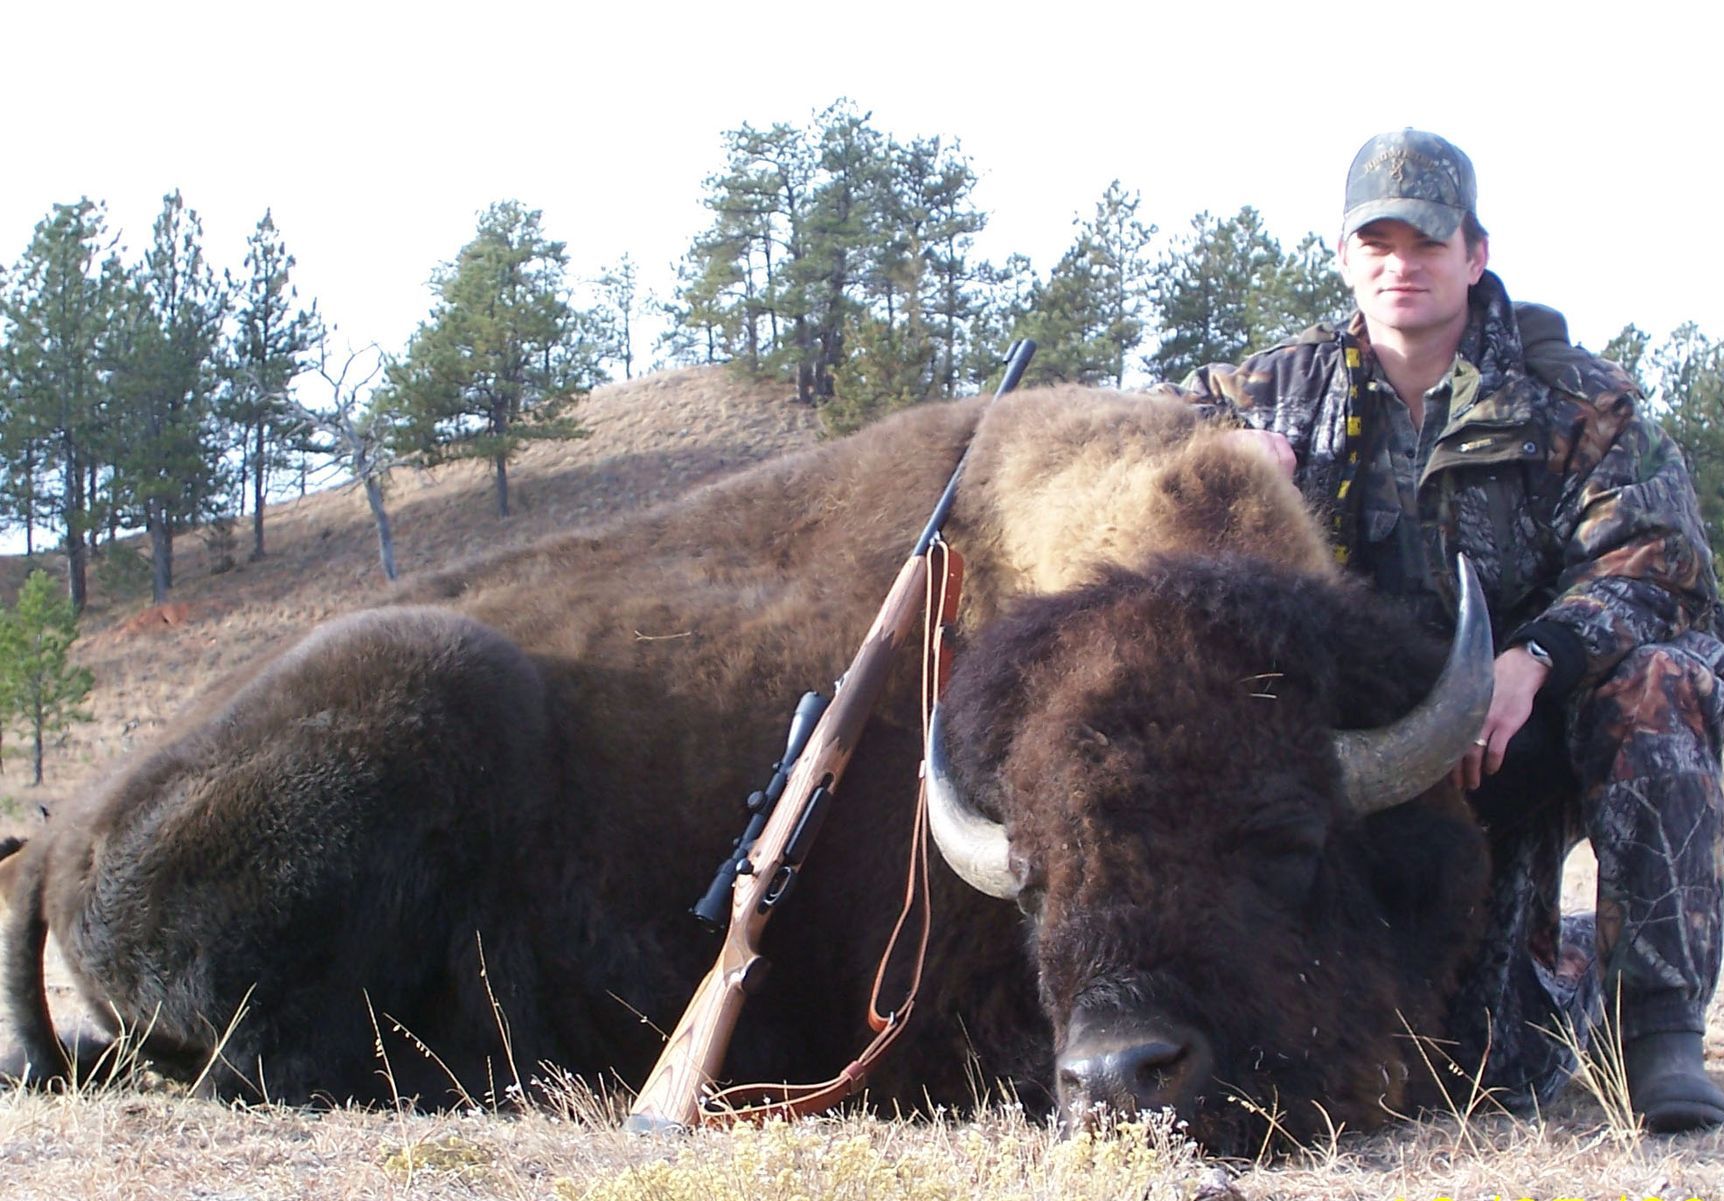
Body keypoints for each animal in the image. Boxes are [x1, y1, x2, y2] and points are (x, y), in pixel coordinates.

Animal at [0, 385, 1497, 1152]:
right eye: (1033, 881)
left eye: (1289, 840)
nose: (1124, 1075)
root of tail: (68, 833)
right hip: (436, 683)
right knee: (265, 1061)